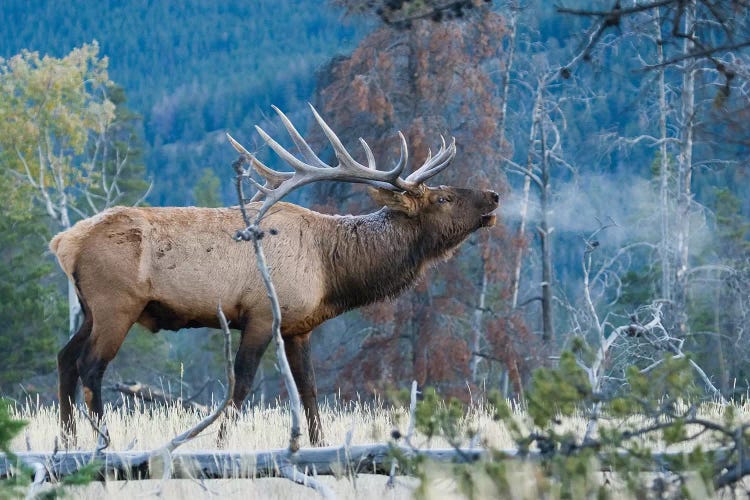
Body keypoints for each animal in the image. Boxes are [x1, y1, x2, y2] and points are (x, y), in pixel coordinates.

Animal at [51, 105, 500, 446]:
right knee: (91, 366)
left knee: (66, 358)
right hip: (116, 305)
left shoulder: (299, 327)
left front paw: (319, 446)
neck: (331, 271)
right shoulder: (261, 314)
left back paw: (68, 440)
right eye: (443, 198)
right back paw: (104, 442)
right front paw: (219, 445)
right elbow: (242, 385)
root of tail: (64, 242)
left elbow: (310, 390)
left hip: (90, 310)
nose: (494, 195)